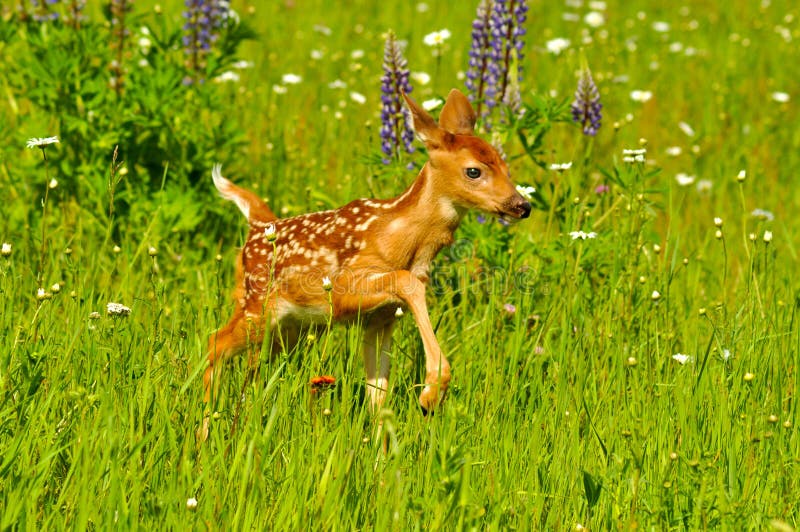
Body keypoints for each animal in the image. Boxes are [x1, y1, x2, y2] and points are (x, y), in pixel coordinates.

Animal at [201, 89, 530, 439]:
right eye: (474, 171)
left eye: (506, 167)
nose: (522, 206)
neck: (402, 240)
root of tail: (258, 226)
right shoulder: (344, 289)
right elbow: (406, 281)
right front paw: (430, 394)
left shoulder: (379, 320)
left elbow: (379, 397)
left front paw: (383, 449)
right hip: (259, 307)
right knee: (215, 343)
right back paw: (203, 437)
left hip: (291, 328)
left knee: (251, 365)